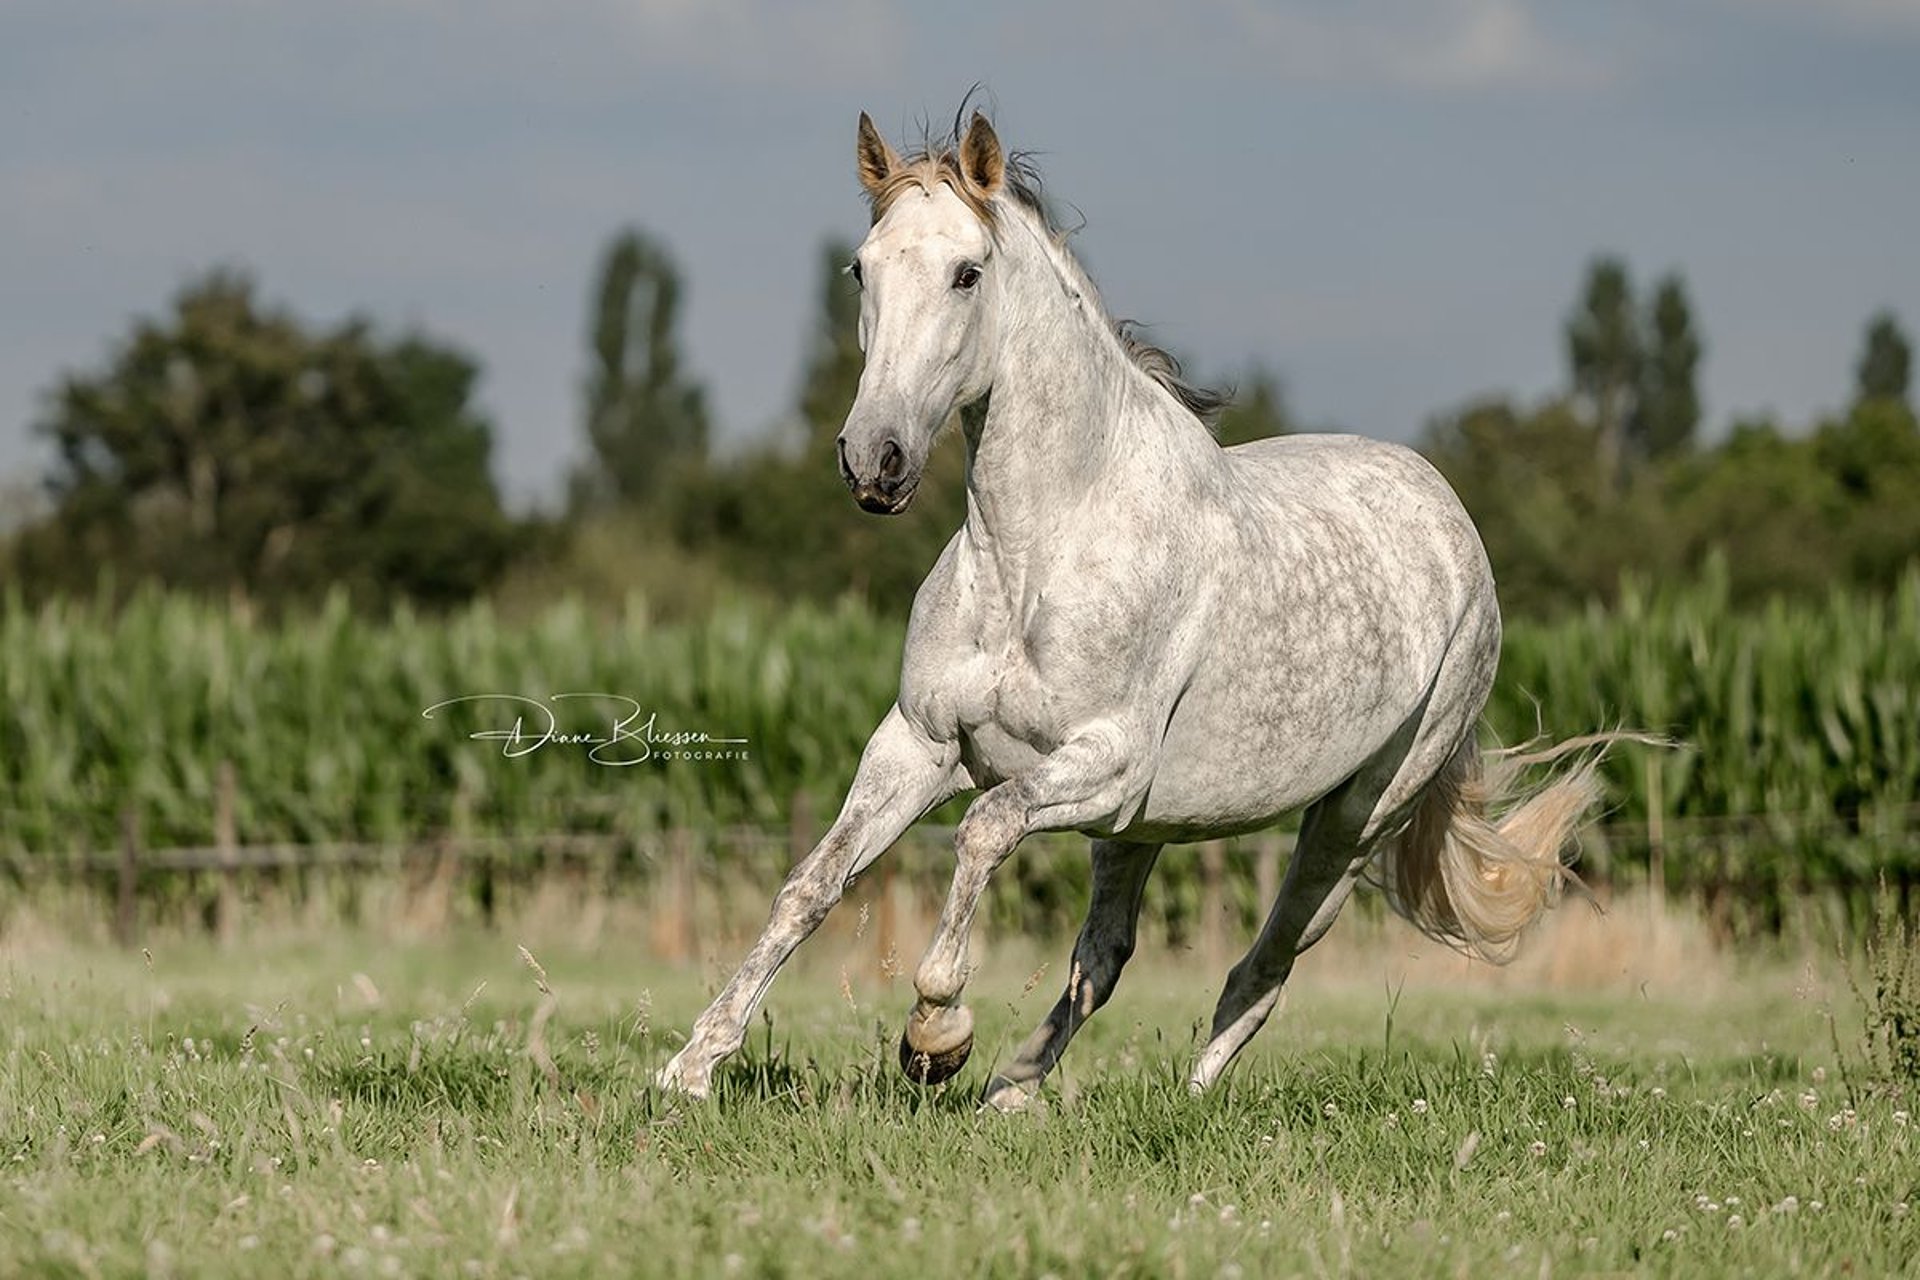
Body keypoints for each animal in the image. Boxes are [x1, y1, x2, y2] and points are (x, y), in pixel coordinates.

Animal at [658, 108, 1607, 1110]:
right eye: (860, 269)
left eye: (968, 272)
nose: (873, 460)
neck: (1035, 556)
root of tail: (1450, 516)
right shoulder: (918, 744)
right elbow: (812, 884)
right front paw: (693, 1067)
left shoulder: (1104, 764)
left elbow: (983, 830)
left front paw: (934, 1035)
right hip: (1144, 830)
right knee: (1105, 955)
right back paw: (1013, 1093)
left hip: (1355, 819)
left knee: (1266, 965)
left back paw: (1185, 1098)